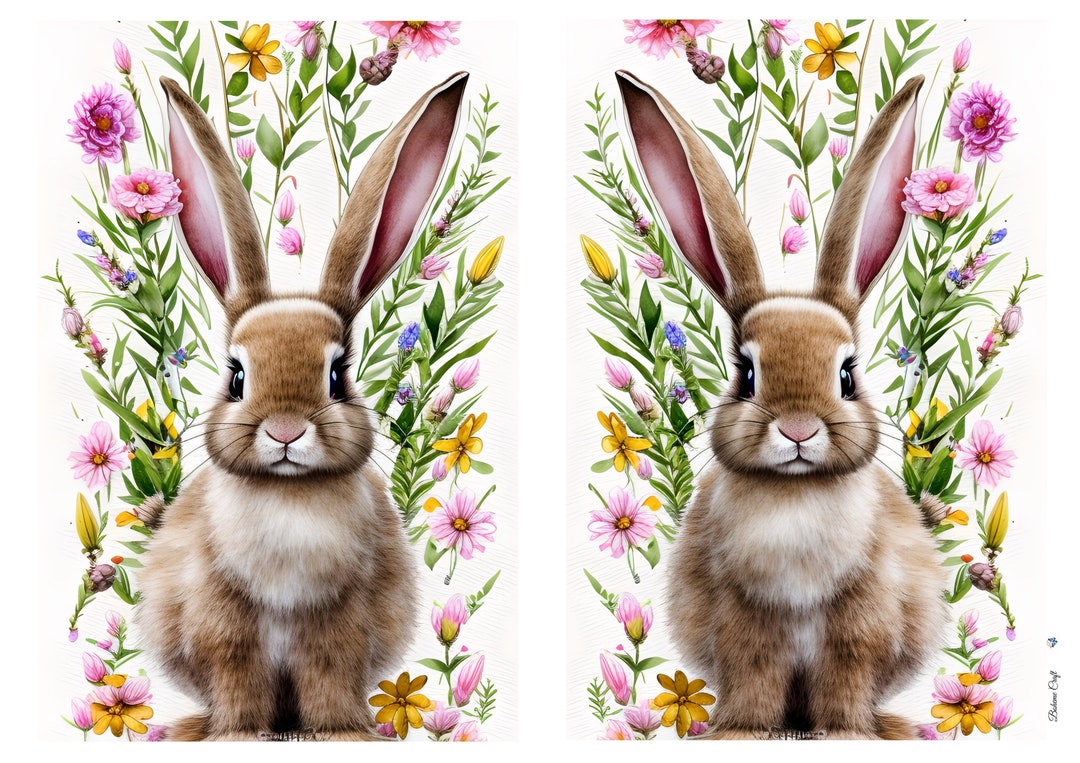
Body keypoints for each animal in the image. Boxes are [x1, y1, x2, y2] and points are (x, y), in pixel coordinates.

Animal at [133, 72, 469, 741]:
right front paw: (238, 735)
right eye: (237, 376)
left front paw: (343, 734)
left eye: (337, 376)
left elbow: (329, 675)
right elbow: (238, 679)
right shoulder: (225, 626)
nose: (286, 431)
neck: (288, 495)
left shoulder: (338, 625)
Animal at [616, 70, 949, 740]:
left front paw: (844, 734)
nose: (798, 429)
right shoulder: (745, 622)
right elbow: (754, 673)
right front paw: (741, 732)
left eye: (847, 375)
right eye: (746, 375)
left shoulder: (859, 623)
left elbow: (845, 676)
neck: (794, 494)